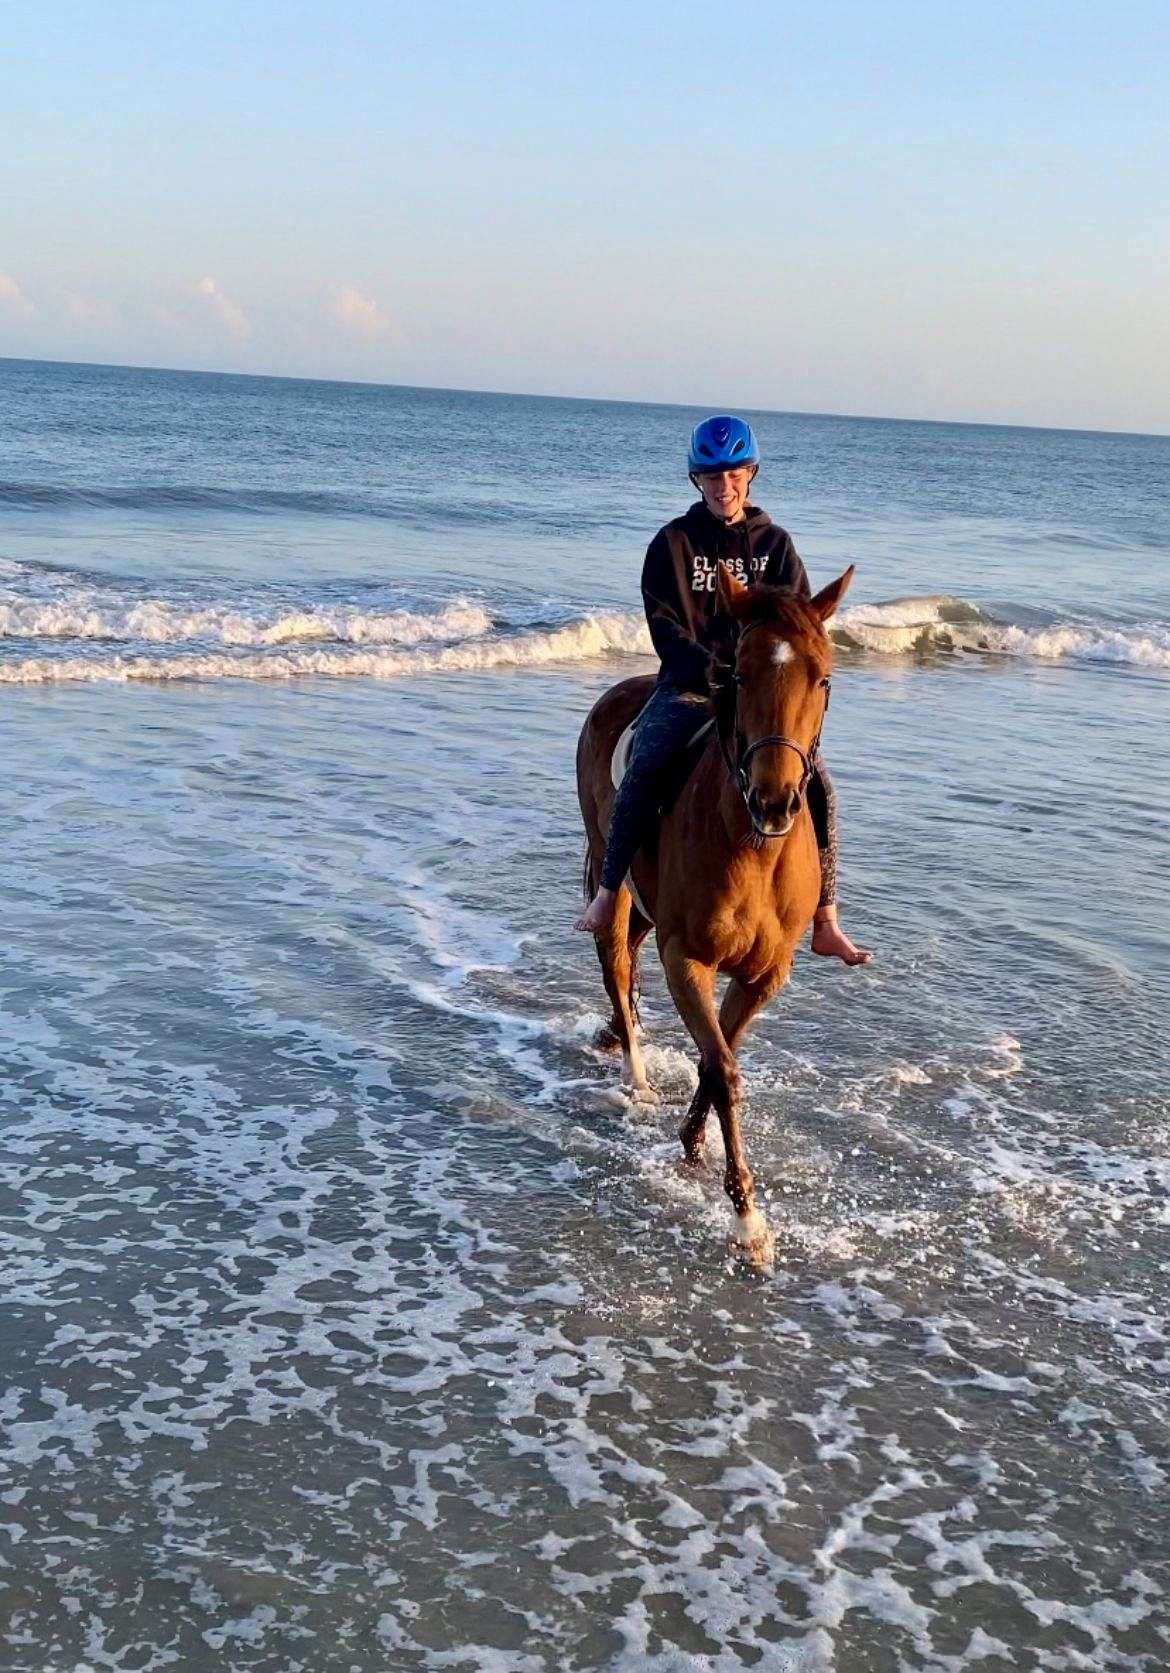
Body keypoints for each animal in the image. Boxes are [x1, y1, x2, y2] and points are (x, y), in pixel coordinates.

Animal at [576, 561, 855, 1265]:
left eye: (822, 677)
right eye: (738, 674)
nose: (776, 801)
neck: (752, 849)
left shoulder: (764, 975)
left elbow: (718, 1054)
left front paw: (694, 1140)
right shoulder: (688, 960)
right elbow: (725, 1068)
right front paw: (748, 1220)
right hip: (614, 883)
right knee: (616, 969)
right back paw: (636, 1075)